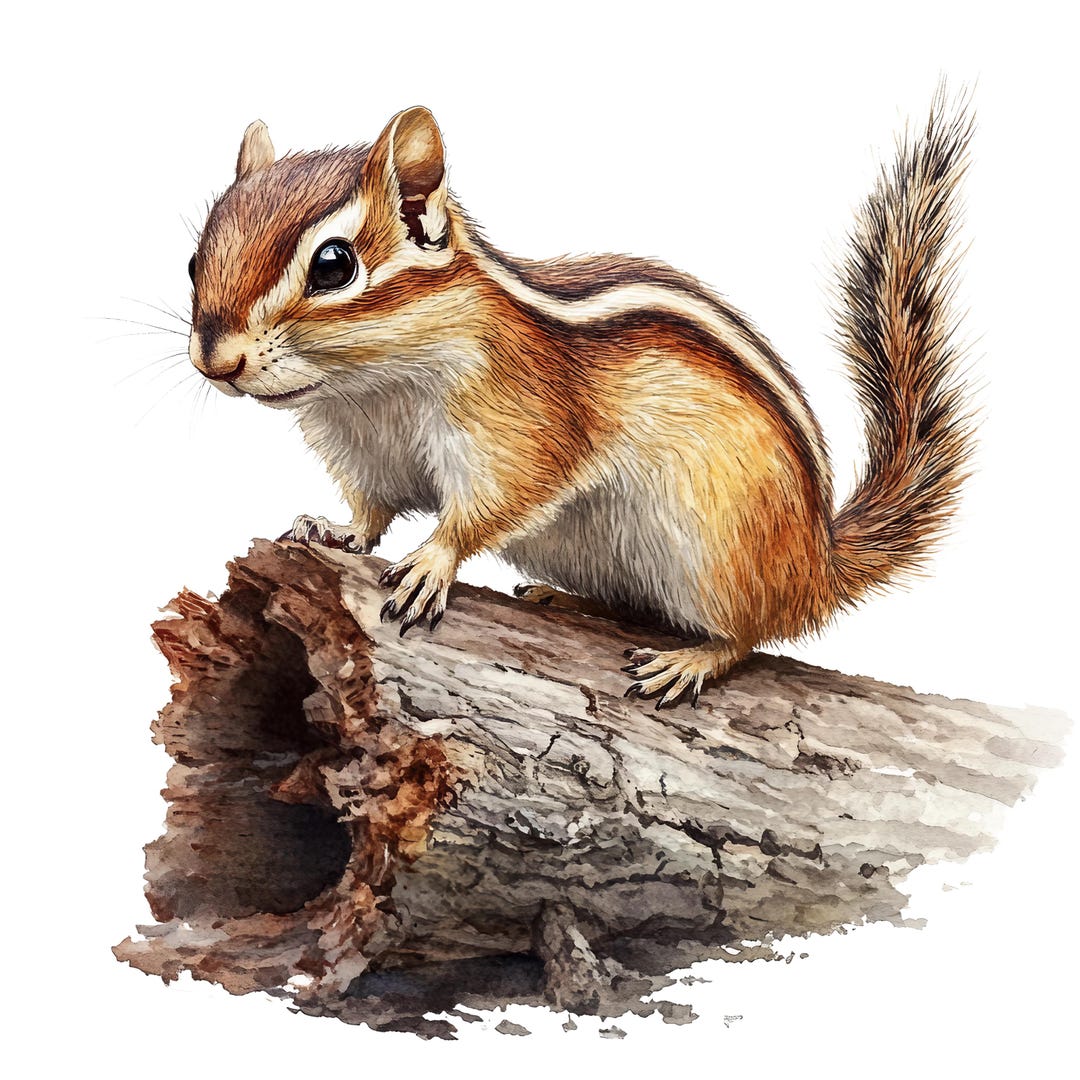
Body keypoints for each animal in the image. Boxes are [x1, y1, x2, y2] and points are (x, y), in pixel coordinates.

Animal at [186, 97, 973, 708]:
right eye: (196, 258)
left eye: (334, 265)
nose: (216, 361)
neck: (369, 390)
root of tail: (820, 561)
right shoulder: (363, 454)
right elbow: (371, 509)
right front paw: (334, 529)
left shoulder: (520, 423)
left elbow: (495, 499)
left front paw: (434, 559)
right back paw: (569, 600)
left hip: (718, 549)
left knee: (752, 631)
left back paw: (690, 659)